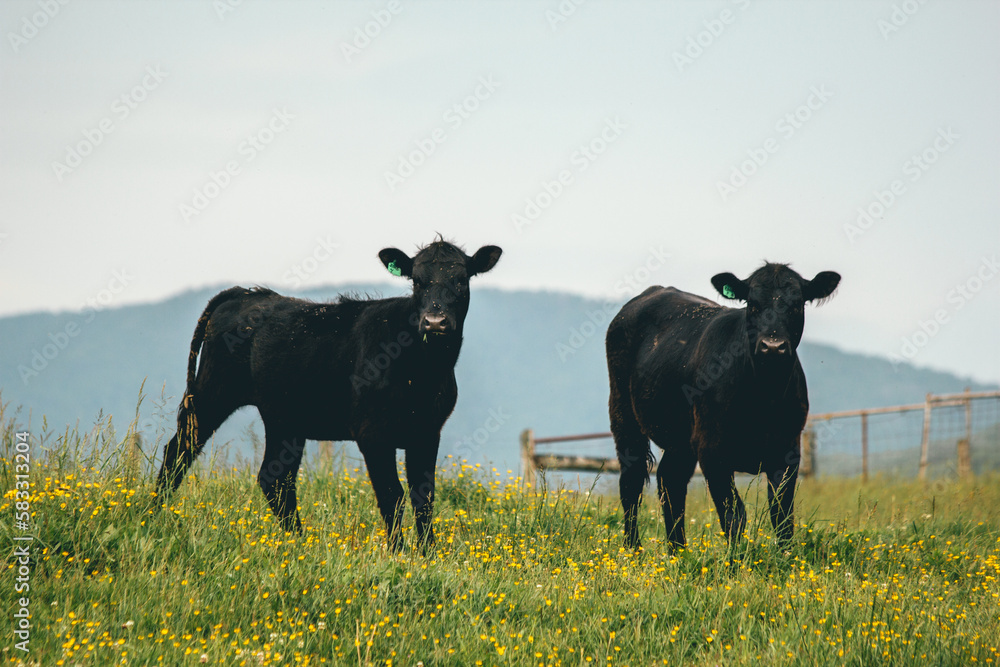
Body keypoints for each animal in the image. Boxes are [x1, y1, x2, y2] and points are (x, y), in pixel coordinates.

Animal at [154, 239, 502, 550]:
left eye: (461, 280)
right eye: (417, 281)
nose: (435, 321)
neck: (422, 370)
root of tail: (246, 293)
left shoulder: (428, 430)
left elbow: (424, 496)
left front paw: (428, 554)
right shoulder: (372, 432)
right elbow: (392, 495)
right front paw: (398, 554)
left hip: (284, 418)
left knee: (274, 478)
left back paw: (298, 543)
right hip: (212, 392)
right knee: (179, 451)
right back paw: (155, 516)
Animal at [605, 262, 840, 550]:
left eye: (797, 305)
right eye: (753, 305)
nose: (773, 346)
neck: (764, 396)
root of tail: (654, 291)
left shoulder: (788, 449)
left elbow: (782, 513)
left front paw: (786, 556)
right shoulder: (713, 449)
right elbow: (733, 513)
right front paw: (736, 559)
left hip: (681, 438)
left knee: (669, 481)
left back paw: (678, 551)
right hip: (623, 412)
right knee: (633, 480)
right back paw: (633, 550)